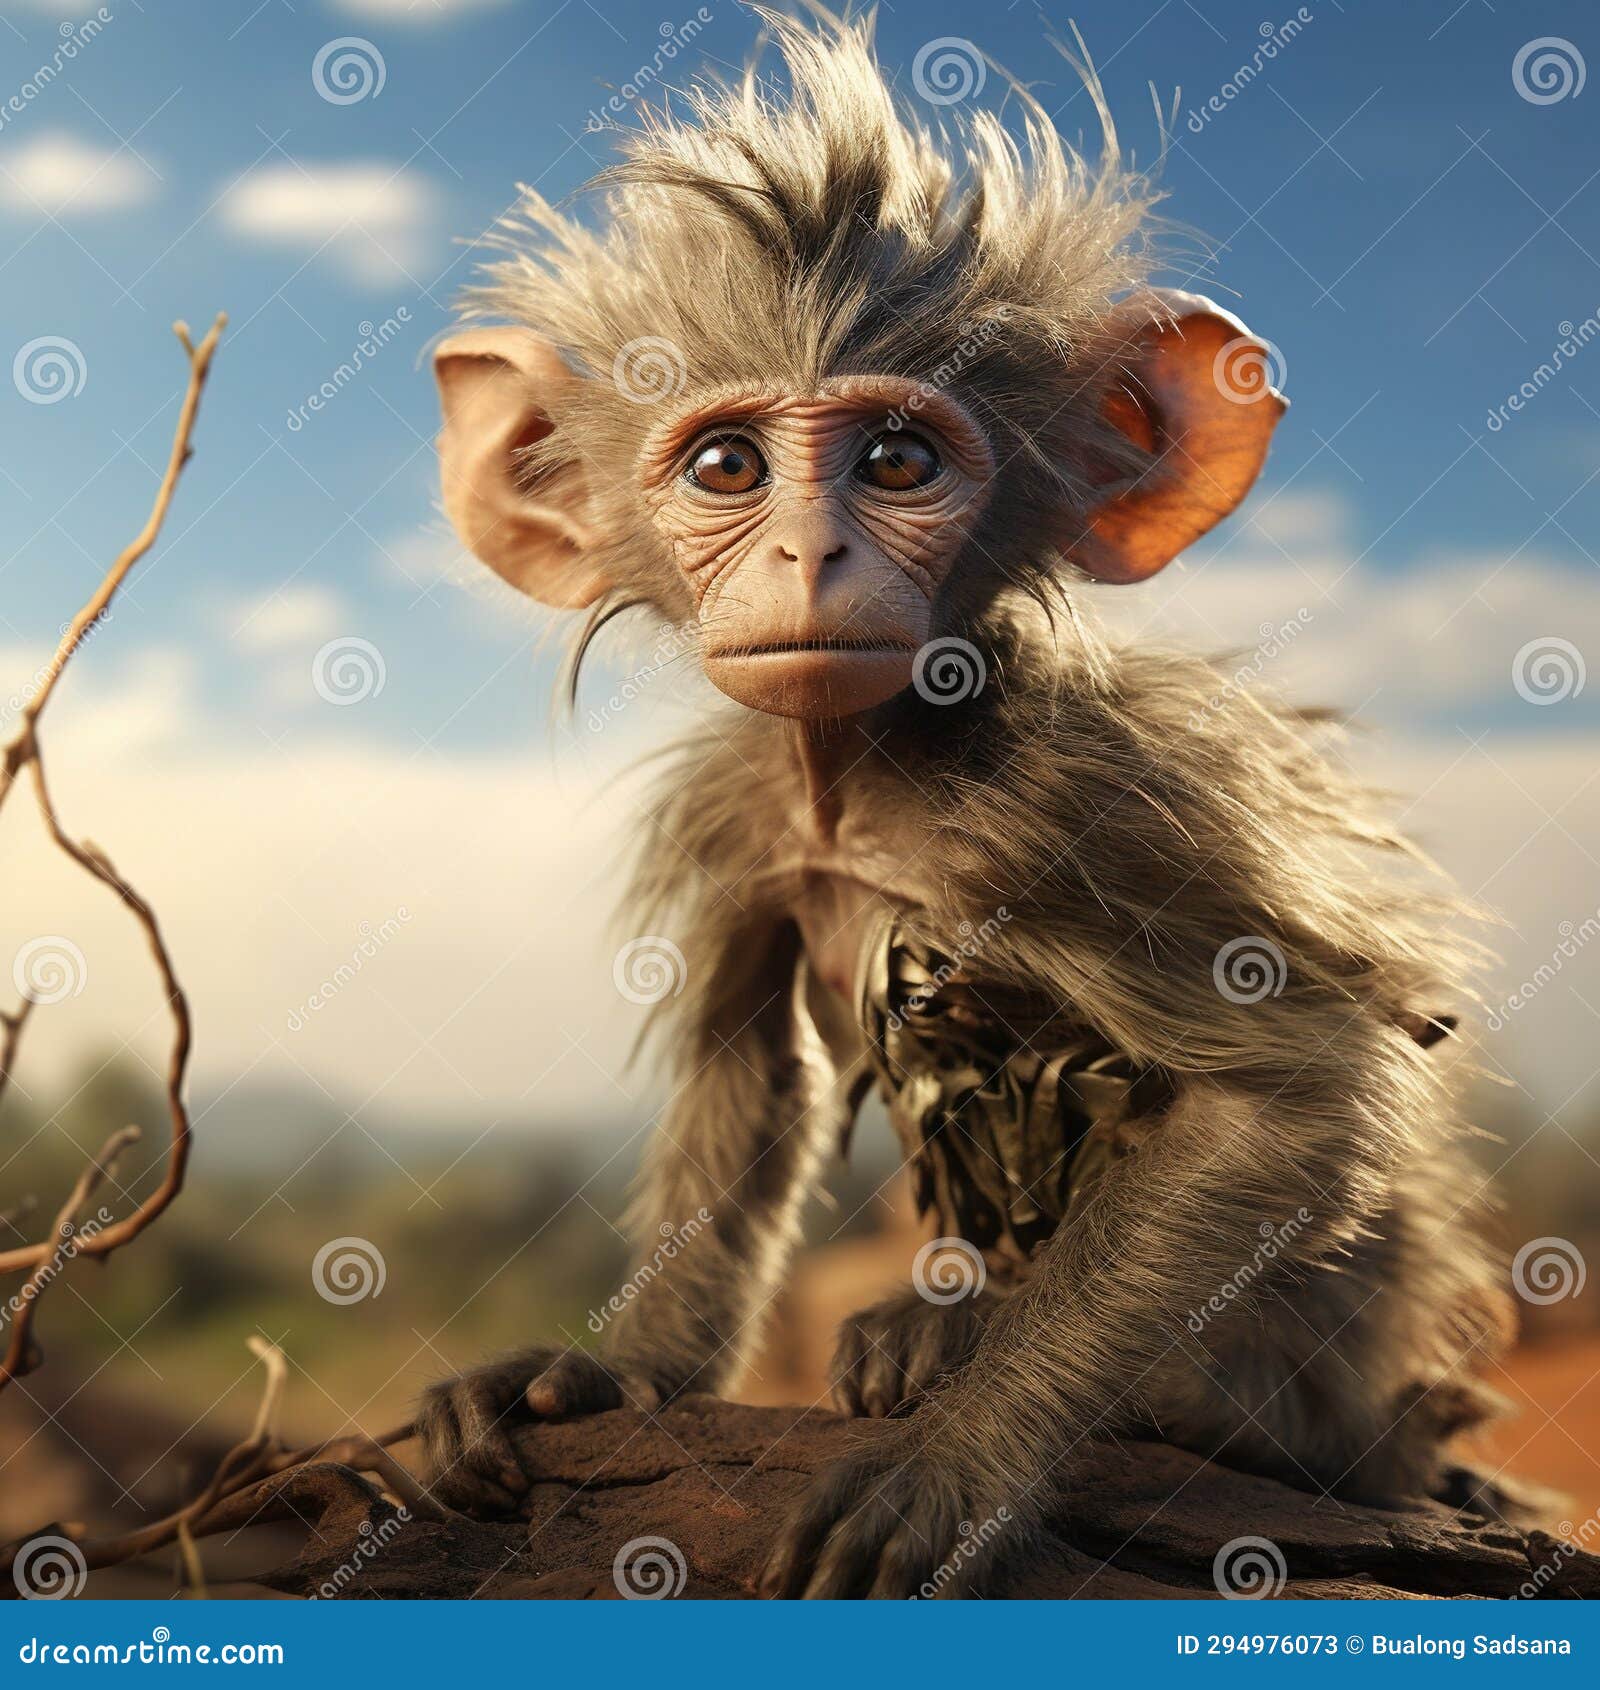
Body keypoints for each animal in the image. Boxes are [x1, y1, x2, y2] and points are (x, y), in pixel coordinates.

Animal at [415, 14, 1512, 1596]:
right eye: (728, 464)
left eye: (897, 461)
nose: (810, 556)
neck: (865, 783)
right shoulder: (742, 809)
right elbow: (752, 1071)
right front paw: (615, 1374)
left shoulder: (1073, 805)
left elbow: (1295, 1088)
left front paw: (957, 1468)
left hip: (1341, 1377)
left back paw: (1018, 1357)